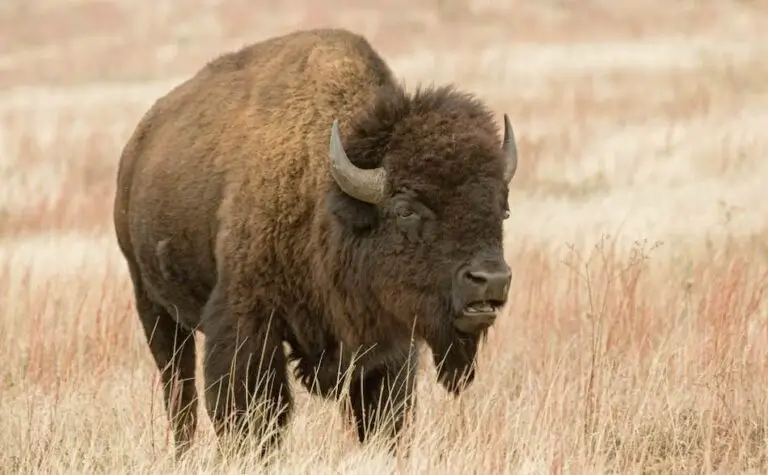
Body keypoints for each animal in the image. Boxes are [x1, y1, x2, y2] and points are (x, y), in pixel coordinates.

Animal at [113, 27, 518, 459]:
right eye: (405, 209)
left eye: (503, 209)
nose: (491, 280)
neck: (325, 198)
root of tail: (137, 144)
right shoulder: (247, 323)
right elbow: (252, 411)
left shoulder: (389, 345)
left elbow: (383, 414)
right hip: (153, 306)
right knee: (179, 389)